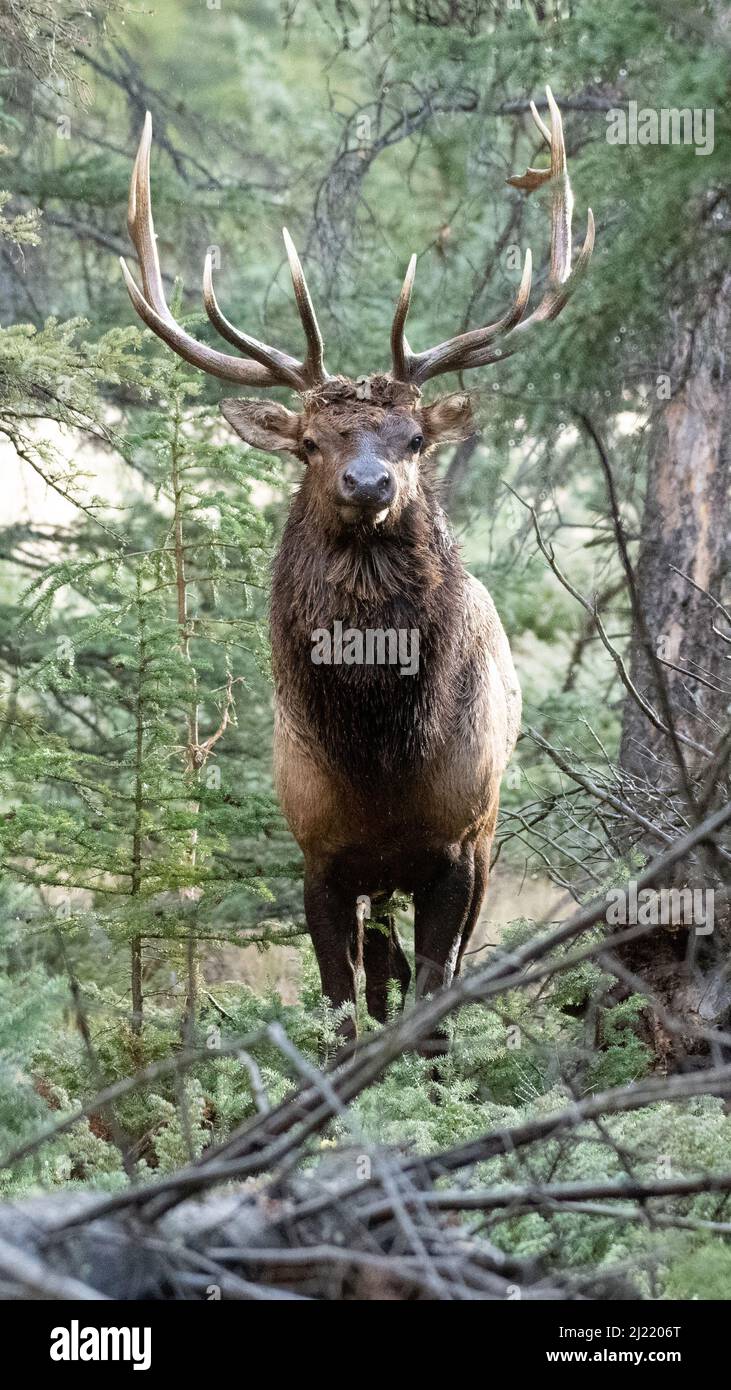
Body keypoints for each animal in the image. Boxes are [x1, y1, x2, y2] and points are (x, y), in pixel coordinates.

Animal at [121, 88, 593, 1046]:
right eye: (309, 442)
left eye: (412, 438)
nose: (368, 481)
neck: (379, 763)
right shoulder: (318, 853)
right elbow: (342, 1011)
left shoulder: (461, 844)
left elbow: (434, 1005)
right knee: (379, 973)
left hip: (488, 834)